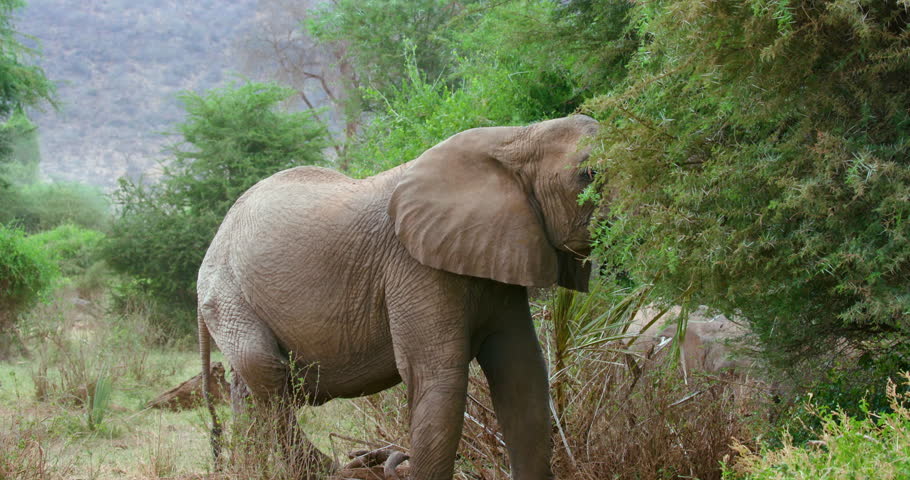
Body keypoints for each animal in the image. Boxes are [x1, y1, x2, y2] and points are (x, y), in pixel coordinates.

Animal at [197, 114, 600, 479]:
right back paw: (327, 469)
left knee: (249, 387)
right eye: (589, 174)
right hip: (226, 296)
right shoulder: (414, 266)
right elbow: (438, 381)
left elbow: (522, 374)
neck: (514, 137)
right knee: (266, 371)